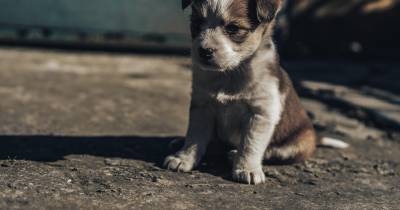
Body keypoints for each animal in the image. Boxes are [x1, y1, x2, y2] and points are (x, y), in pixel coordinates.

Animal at [162, 0, 346, 184]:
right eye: (198, 23)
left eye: (233, 28)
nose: (204, 51)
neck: (231, 73)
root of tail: (314, 137)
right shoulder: (202, 106)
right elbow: (195, 136)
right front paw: (183, 158)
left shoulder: (260, 113)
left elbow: (250, 144)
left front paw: (247, 169)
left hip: (296, 144)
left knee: (273, 152)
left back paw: (234, 154)